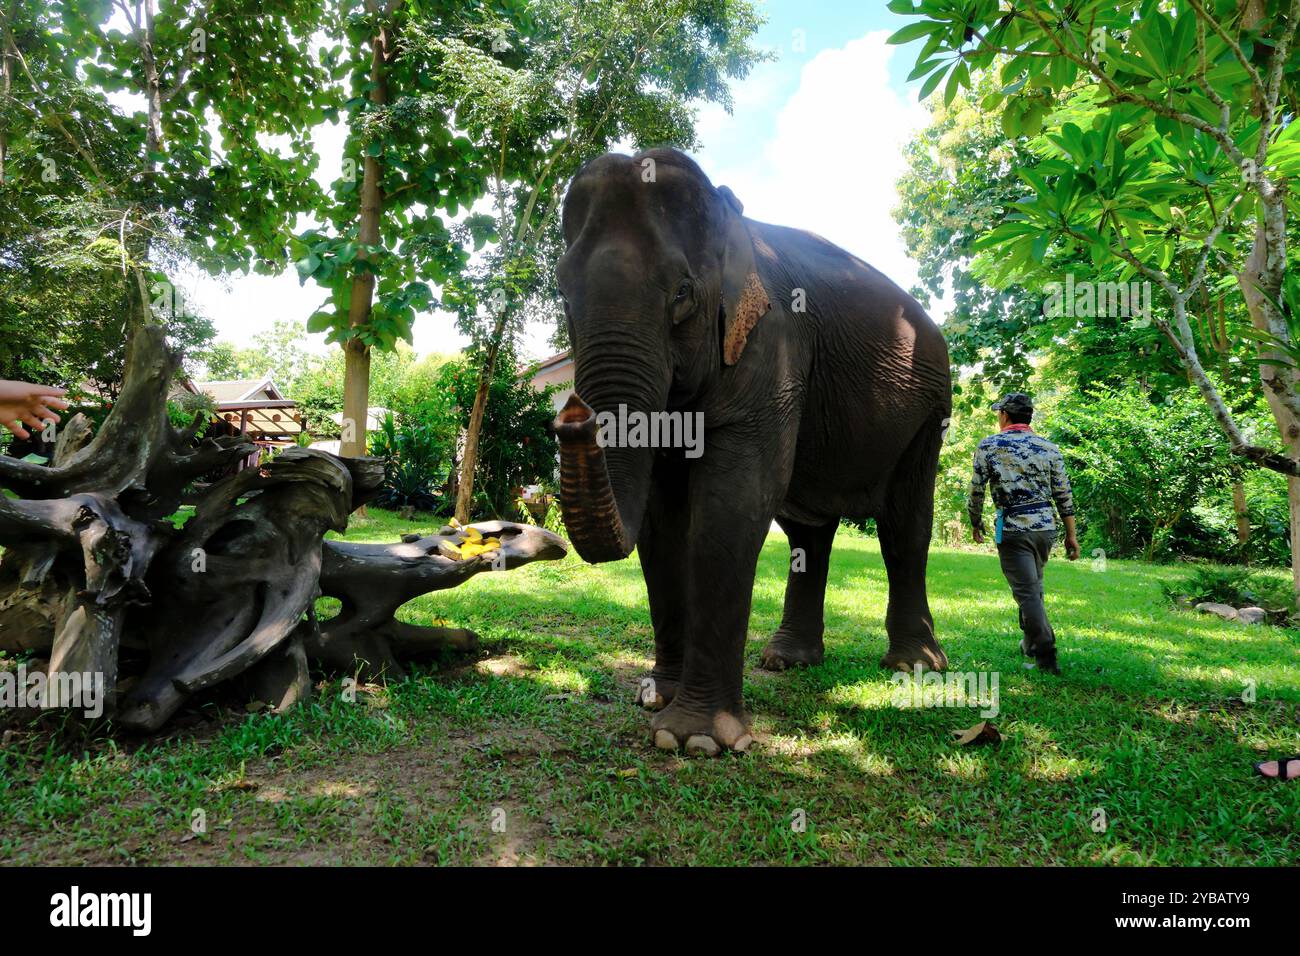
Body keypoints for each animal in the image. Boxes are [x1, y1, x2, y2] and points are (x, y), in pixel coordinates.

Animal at [553, 147, 951, 755]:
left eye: (682, 294)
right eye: (563, 295)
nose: (571, 412)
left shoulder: (776, 344)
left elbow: (732, 503)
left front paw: (692, 739)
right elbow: (663, 519)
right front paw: (658, 699)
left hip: (929, 412)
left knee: (906, 526)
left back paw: (914, 667)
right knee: (809, 532)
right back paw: (787, 661)